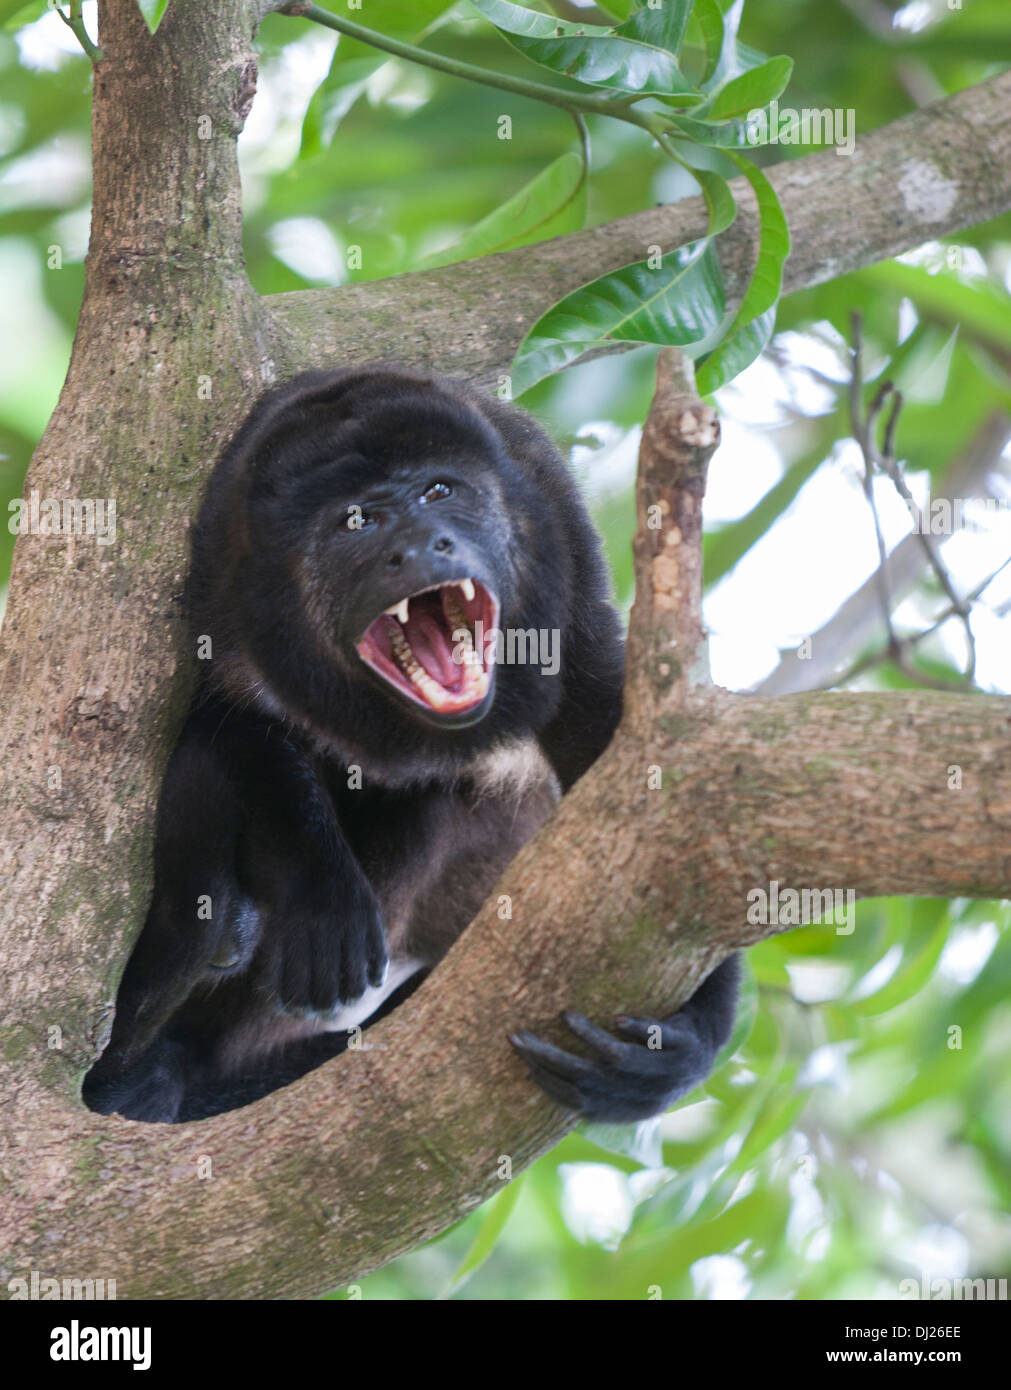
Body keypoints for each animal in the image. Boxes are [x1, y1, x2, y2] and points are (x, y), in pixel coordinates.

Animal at [83, 363, 739, 1124]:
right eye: (356, 521)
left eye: (438, 493)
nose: (423, 546)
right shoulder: (223, 573)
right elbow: (220, 728)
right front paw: (323, 897)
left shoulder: (556, 534)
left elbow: (618, 751)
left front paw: (695, 1032)